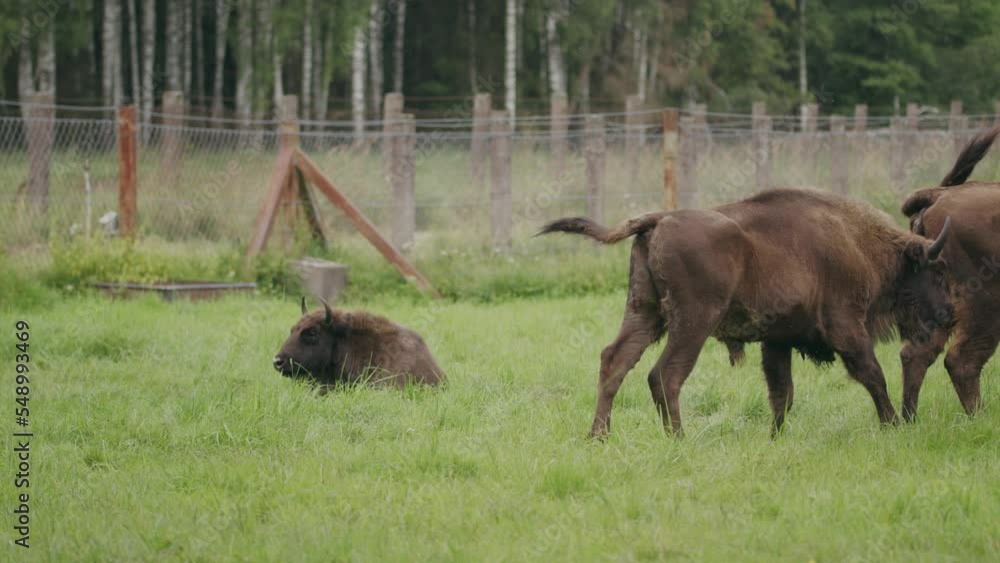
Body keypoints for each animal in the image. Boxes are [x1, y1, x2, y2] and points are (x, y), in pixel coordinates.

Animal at [540, 188, 952, 438]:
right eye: (935, 271)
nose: (949, 313)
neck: (857, 242)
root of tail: (659, 219)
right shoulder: (847, 327)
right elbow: (872, 374)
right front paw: (893, 425)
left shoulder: (778, 341)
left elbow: (782, 392)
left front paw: (774, 437)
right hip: (693, 321)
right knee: (665, 374)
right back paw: (679, 438)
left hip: (645, 312)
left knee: (615, 361)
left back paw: (599, 436)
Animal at [899, 125, 1000, 420]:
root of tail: (940, 194)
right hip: (985, 303)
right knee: (961, 360)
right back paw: (980, 419)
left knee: (915, 352)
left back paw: (907, 420)